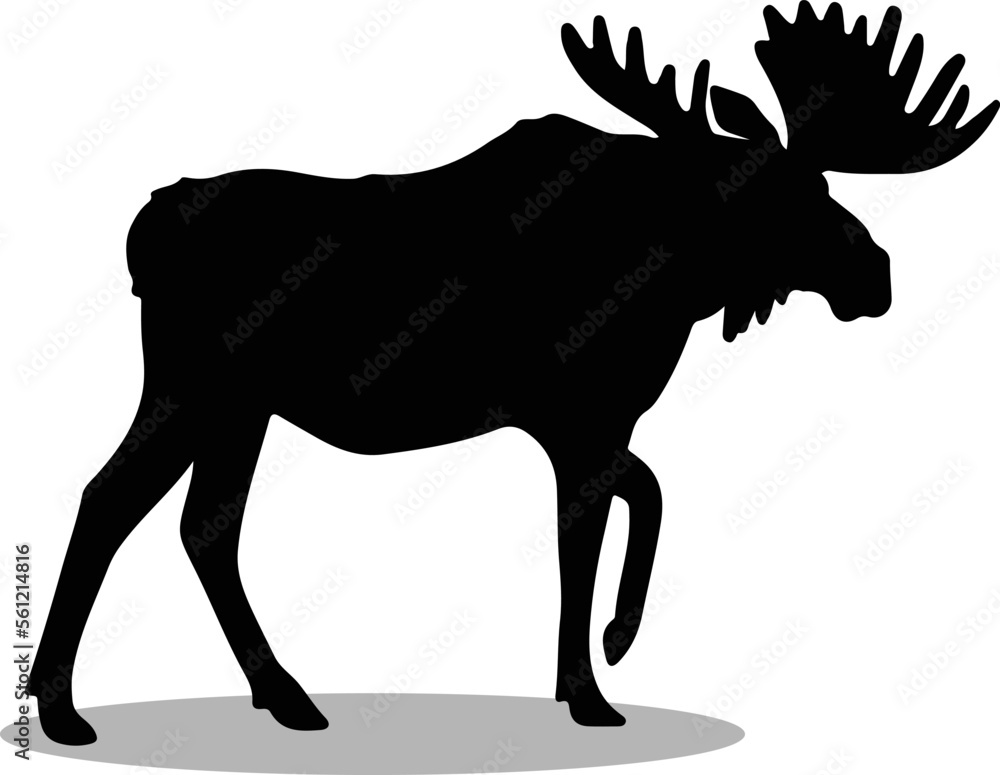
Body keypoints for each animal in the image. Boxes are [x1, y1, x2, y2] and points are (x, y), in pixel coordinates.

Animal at [29, 1, 997, 745]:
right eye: (770, 195)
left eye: (822, 187)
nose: (875, 273)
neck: (675, 275)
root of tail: (145, 227)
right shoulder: (584, 415)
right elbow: (598, 533)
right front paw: (598, 678)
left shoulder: (581, 421)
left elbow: (639, 498)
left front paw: (608, 648)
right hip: (195, 384)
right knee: (111, 498)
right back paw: (63, 707)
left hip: (243, 404)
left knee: (204, 527)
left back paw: (283, 694)